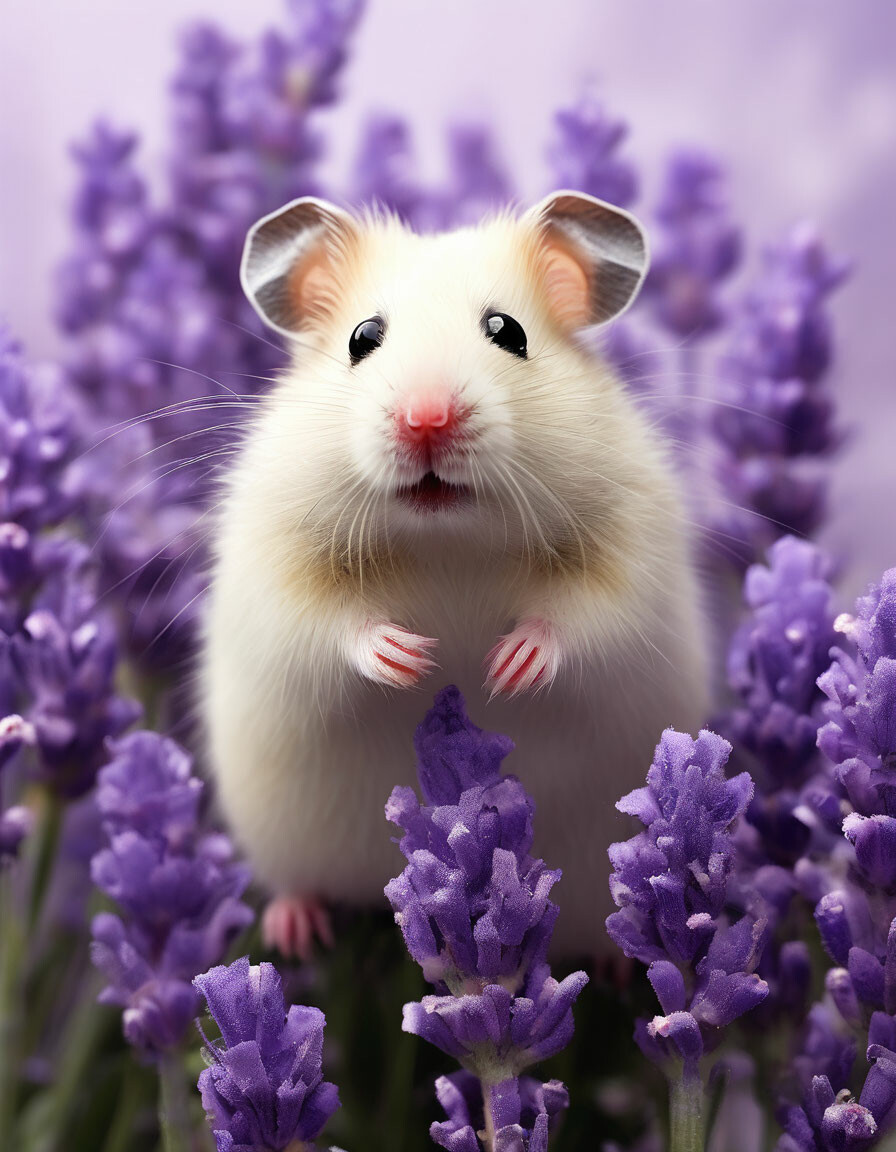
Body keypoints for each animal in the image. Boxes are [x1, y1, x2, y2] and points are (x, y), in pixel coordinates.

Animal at [202, 190, 708, 959]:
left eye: (509, 332)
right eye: (362, 338)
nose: (427, 418)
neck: (448, 542)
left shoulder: (632, 550)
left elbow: (584, 618)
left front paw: (504, 667)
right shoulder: (272, 564)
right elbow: (326, 623)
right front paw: (412, 658)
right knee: (297, 883)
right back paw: (295, 934)